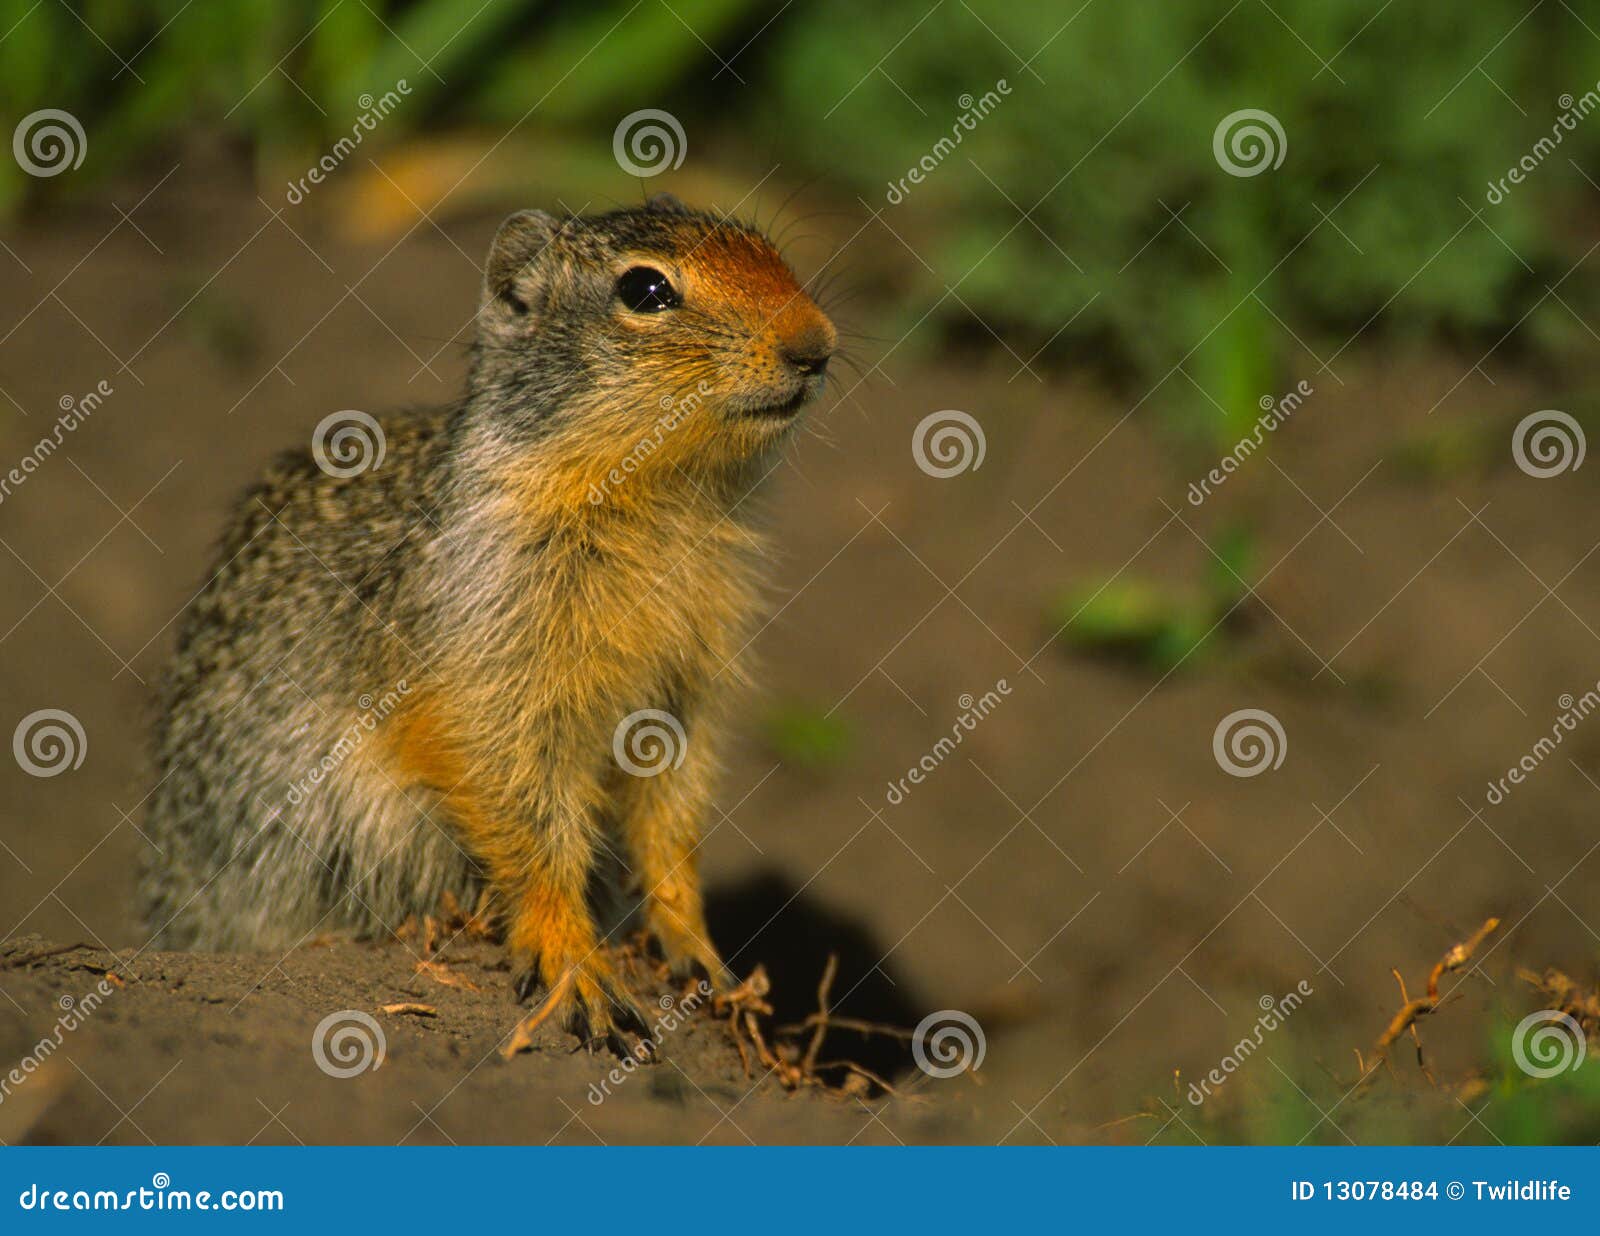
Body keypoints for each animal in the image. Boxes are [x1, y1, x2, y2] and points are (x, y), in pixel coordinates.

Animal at [140, 195, 837, 1054]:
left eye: (769, 249)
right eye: (645, 290)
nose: (816, 344)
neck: (662, 496)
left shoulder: (690, 681)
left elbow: (672, 817)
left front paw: (696, 950)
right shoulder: (492, 665)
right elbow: (526, 815)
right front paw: (577, 968)